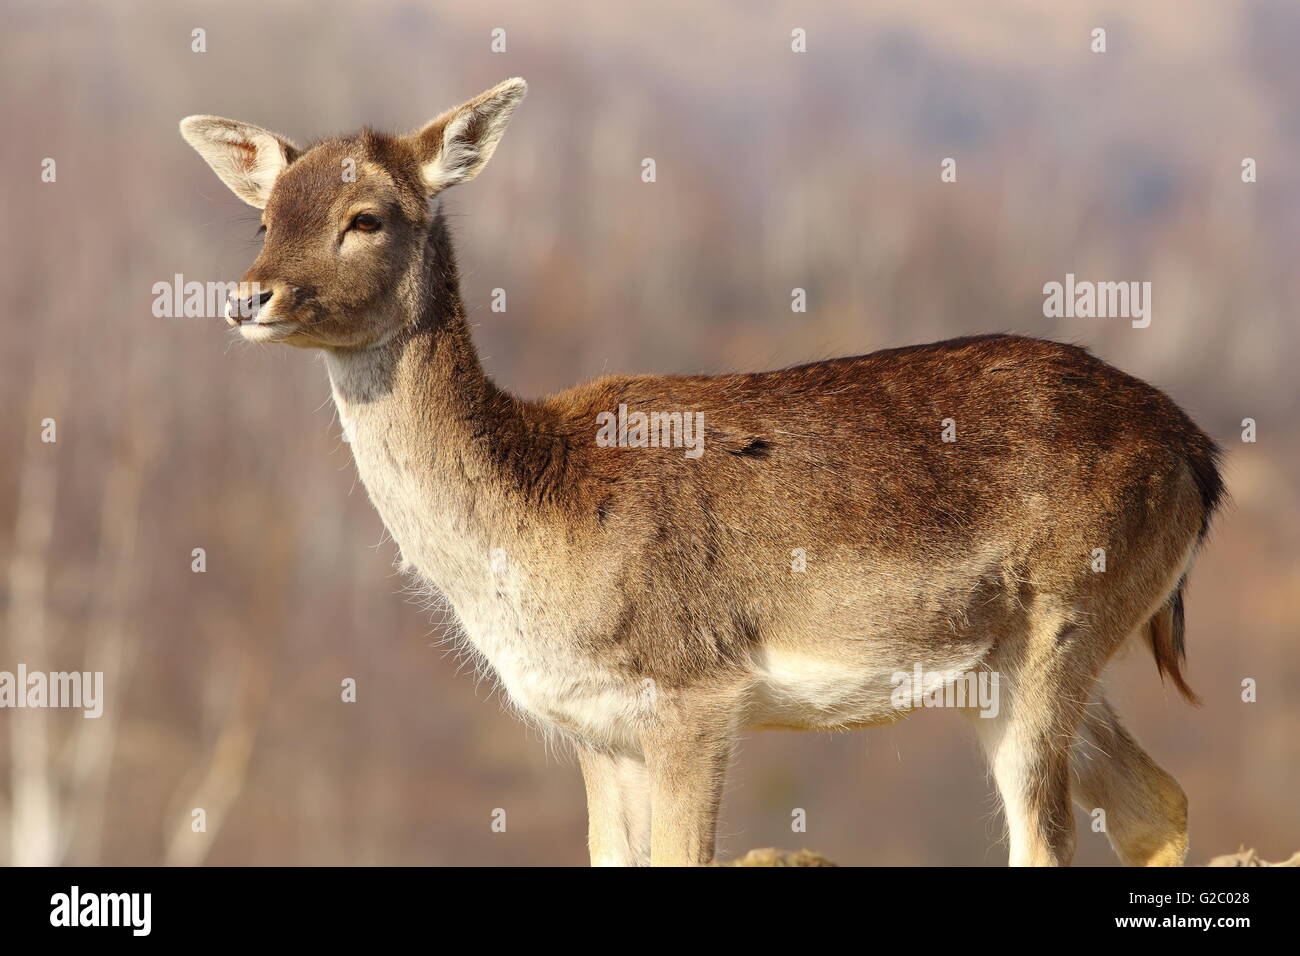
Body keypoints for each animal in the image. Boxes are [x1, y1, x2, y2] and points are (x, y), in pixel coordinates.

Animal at [180, 78, 1223, 867]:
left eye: (366, 217)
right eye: (264, 217)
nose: (250, 297)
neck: (532, 543)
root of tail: (1198, 454)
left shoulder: (692, 696)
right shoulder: (596, 728)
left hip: (1062, 623)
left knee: (1049, 838)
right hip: (1029, 663)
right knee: (1159, 803)